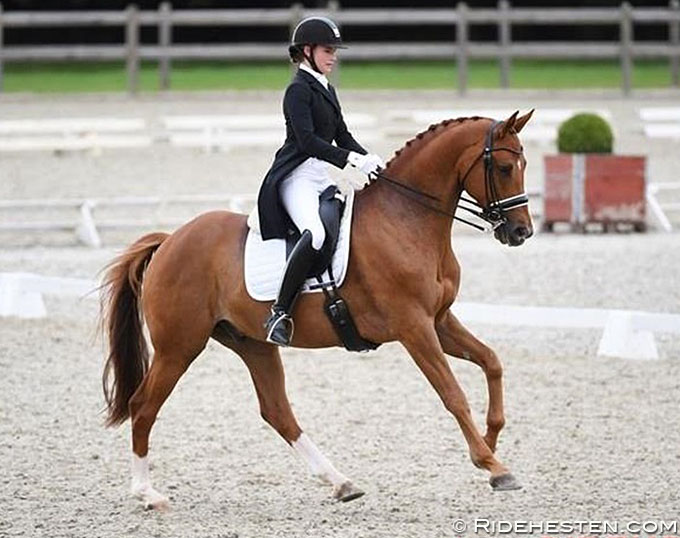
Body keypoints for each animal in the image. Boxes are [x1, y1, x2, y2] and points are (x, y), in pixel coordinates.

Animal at [101, 110, 535, 510]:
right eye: (503, 167)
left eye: (524, 164)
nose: (521, 232)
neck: (406, 218)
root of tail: (170, 240)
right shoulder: (414, 327)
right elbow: (453, 394)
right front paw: (494, 466)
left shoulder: (439, 321)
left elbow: (491, 362)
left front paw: (490, 442)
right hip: (179, 347)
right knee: (143, 406)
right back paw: (146, 493)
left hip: (252, 343)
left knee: (277, 411)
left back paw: (342, 483)